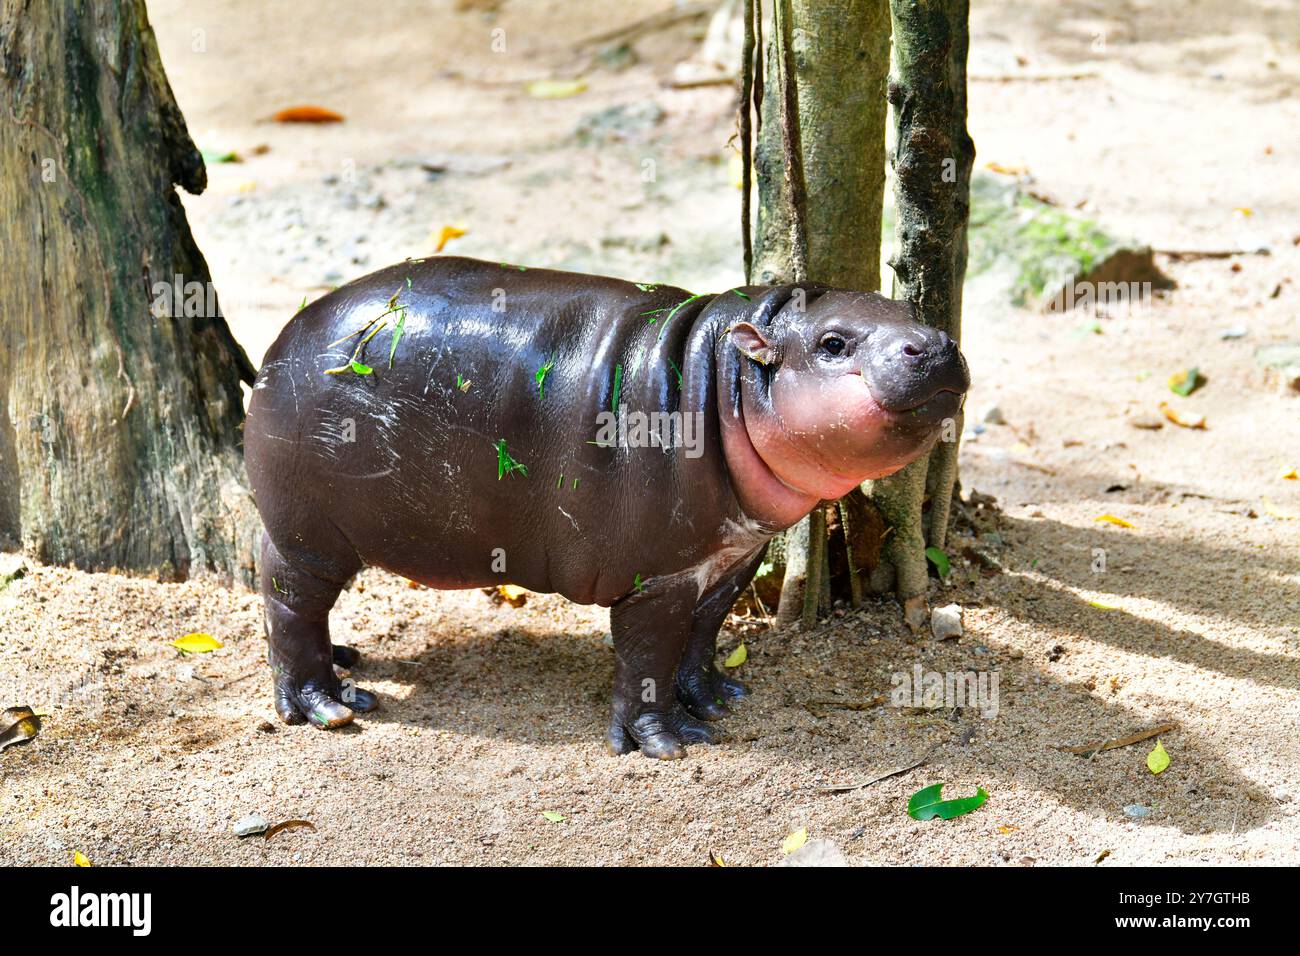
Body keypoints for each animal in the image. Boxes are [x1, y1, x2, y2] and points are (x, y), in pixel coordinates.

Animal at [243, 257, 969, 758]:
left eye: (909, 305)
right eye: (833, 343)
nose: (937, 343)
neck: (724, 378)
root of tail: (285, 334)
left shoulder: (730, 560)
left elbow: (701, 638)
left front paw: (718, 701)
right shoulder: (656, 579)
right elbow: (648, 658)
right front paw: (667, 743)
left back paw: (347, 662)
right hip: (307, 533)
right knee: (288, 601)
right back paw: (330, 706)